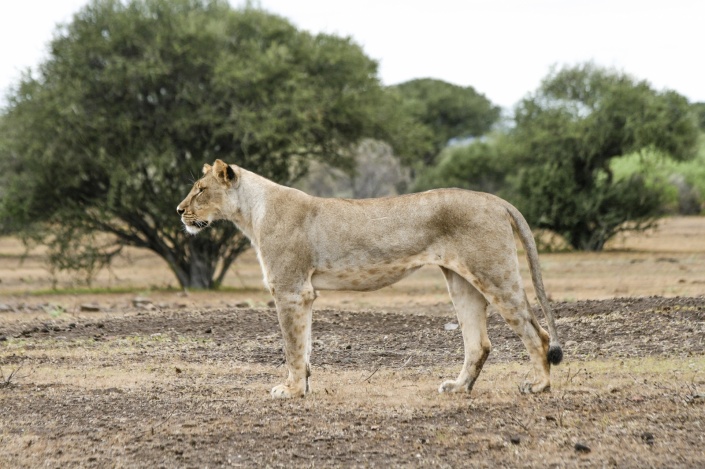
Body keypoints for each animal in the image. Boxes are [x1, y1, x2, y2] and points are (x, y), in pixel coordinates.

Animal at [177, 159, 563, 399]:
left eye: (200, 190)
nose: (179, 211)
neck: (252, 212)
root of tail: (496, 199)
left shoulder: (290, 290)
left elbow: (292, 347)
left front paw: (291, 391)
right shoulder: (304, 293)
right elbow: (305, 345)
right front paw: (304, 387)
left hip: (495, 274)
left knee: (537, 333)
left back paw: (539, 385)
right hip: (461, 281)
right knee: (479, 343)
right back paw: (458, 387)